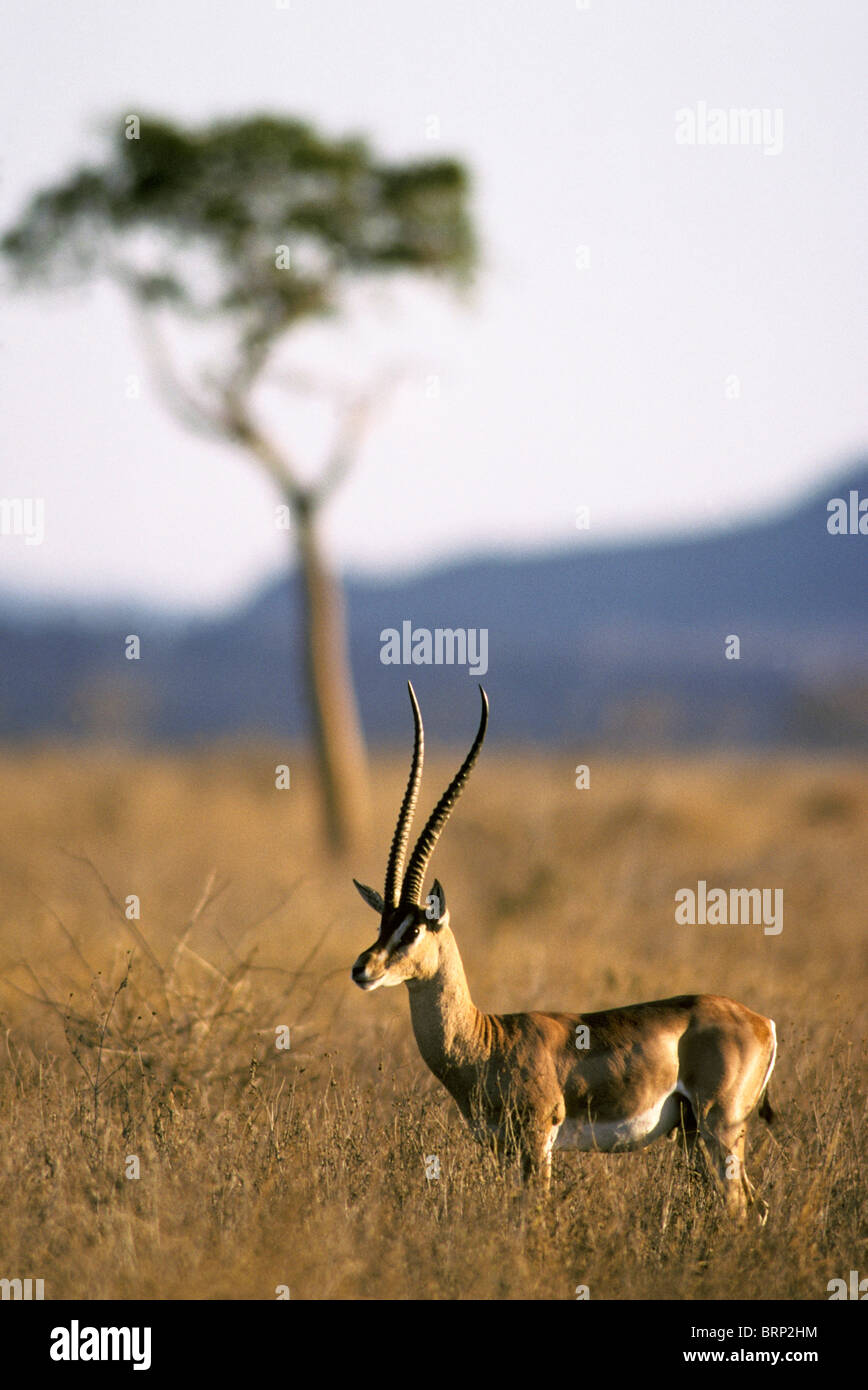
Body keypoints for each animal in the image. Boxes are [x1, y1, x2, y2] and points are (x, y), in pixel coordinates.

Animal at [351, 684, 777, 1219]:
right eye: (382, 923)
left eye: (412, 930)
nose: (362, 968)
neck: (487, 1041)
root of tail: (762, 1022)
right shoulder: (502, 1148)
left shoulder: (538, 1141)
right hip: (693, 1134)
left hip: (721, 1128)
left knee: (742, 1206)